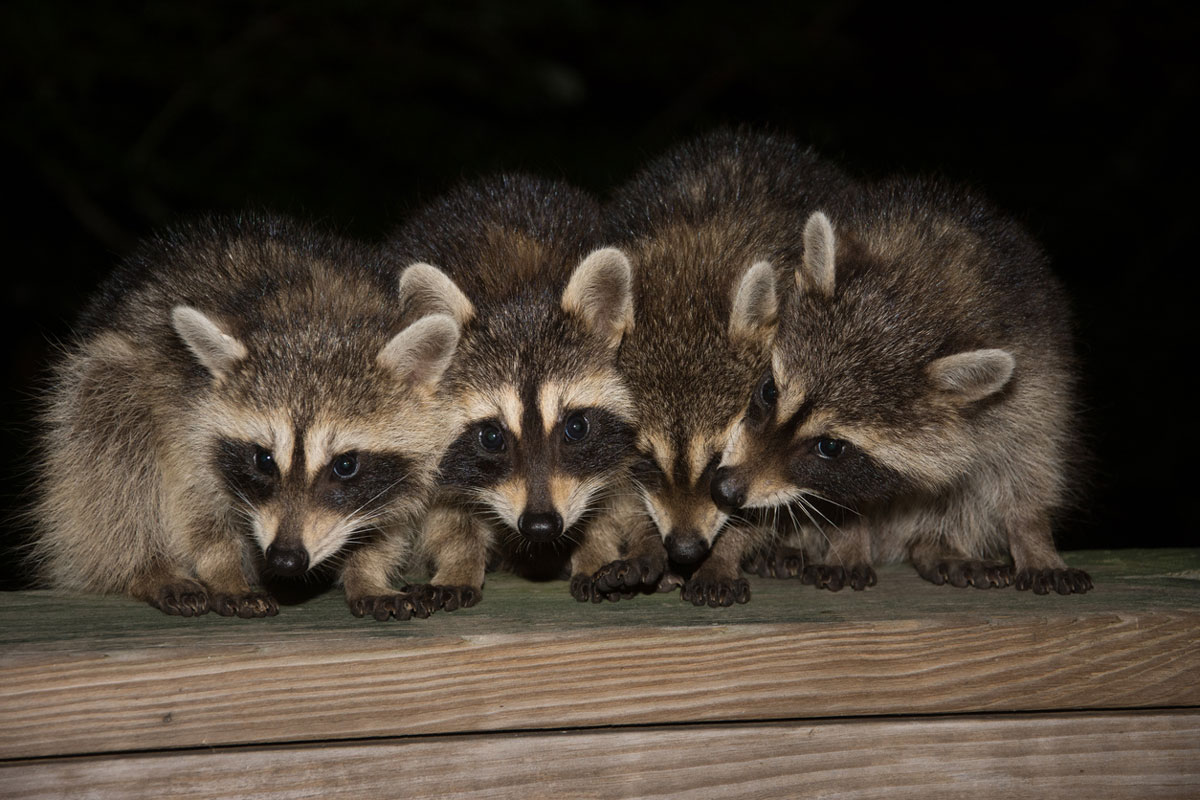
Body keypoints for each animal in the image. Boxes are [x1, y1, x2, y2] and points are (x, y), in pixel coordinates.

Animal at [32, 213, 460, 619]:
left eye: (346, 465)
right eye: (263, 459)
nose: (285, 559)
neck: (317, 319)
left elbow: (392, 522)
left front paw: (367, 571)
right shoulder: (184, 413)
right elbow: (199, 509)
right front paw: (222, 570)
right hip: (109, 380)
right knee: (112, 444)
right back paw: (148, 567)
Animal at [385, 174, 646, 609]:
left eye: (576, 427)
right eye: (491, 436)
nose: (541, 525)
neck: (519, 289)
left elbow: (611, 492)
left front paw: (595, 549)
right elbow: (444, 510)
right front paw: (459, 561)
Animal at [596, 129, 852, 607]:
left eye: (718, 461)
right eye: (648, 462)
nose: (684, 549)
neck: (688, 270)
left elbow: (762, 498)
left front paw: (725, 554)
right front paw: (644, 541)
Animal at [711, 177, 1092, 595]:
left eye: (830, 446)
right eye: (769, 392)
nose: (725, 490)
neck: (922, 291)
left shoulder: (1037, 368)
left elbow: (1028, 460)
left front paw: (1034, 538)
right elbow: (845, 500)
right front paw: (847, 541)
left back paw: (938, 544)